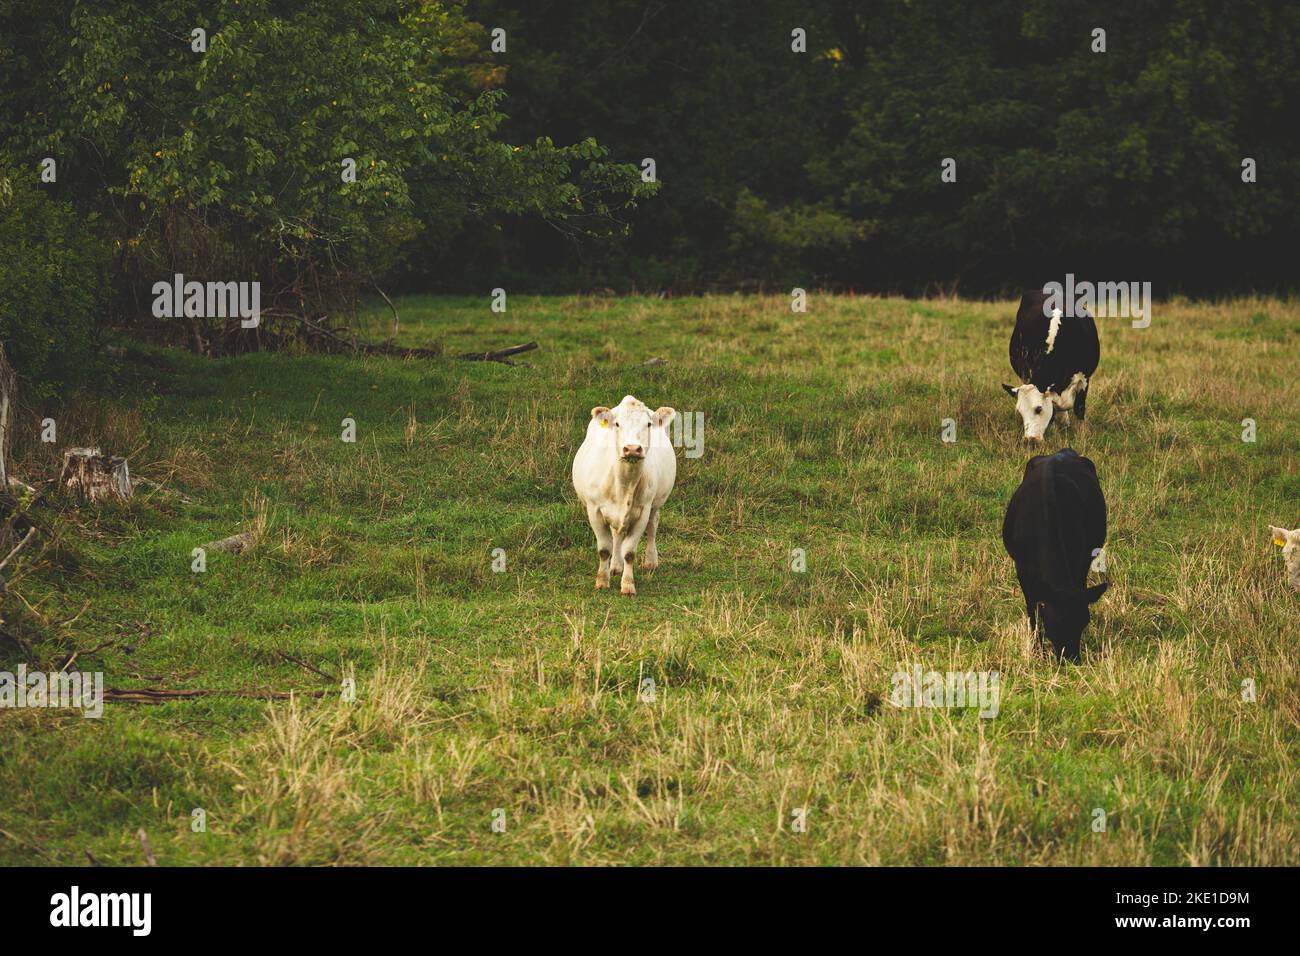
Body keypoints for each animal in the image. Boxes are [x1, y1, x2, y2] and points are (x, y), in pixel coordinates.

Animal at [572, 395, 677, 596]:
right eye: (617, 424)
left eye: (648, 424)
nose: (633, 448)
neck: (624, 483)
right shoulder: (594, 509)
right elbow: (604, 549)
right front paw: (602, 580)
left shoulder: (643, 511)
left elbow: (629, 552)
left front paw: (628, 585)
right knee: (617, 534)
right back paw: (615, 566)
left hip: (655, 504)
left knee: (652, 525)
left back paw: (650, 561)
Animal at [1002, 287, 1100, 441]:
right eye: (1020, 412)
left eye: (1038, 409)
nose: (1029, 440)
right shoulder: (1027, 371)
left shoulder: (1085, 378)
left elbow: (1079, 408)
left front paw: (1081, 435)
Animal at [1002, 448, 1108, 661]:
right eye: (1055, 623)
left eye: (1084, 622)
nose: (1072, 659)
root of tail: (1063, 452)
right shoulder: (1023, 570)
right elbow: (1033, 611)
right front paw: (1036, 651)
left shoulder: (1080, 561)